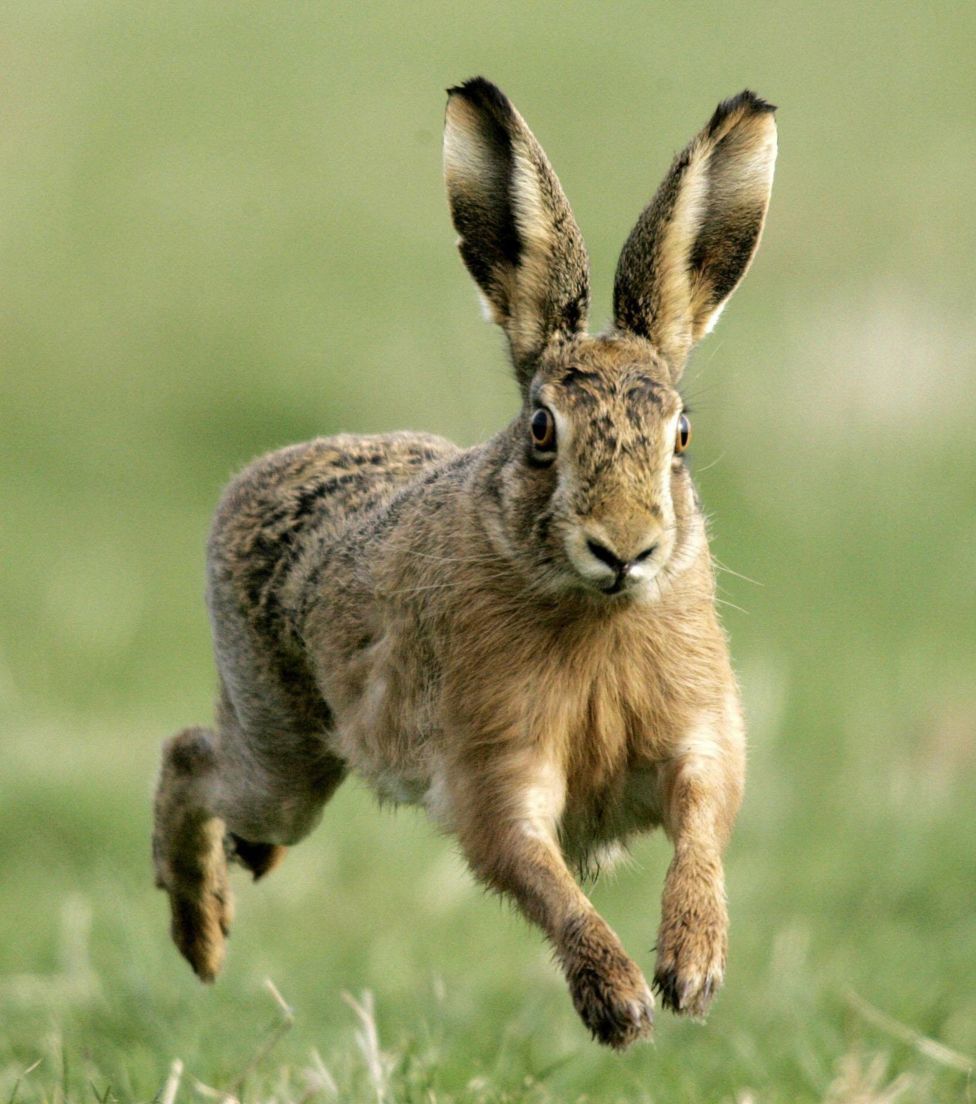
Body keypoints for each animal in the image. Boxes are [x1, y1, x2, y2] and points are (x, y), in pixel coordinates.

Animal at [153, 77, 776, 1050]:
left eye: (680, 436)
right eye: (542, 430)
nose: (625, 547)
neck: (591, 610)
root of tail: (256, 479)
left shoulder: (701, 740)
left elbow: (701, 832)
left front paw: (694, 967)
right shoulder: (497, 769)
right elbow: (537, 872)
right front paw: (620, 1004)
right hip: (283, 750)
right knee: (192, 759)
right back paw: (203, 935)